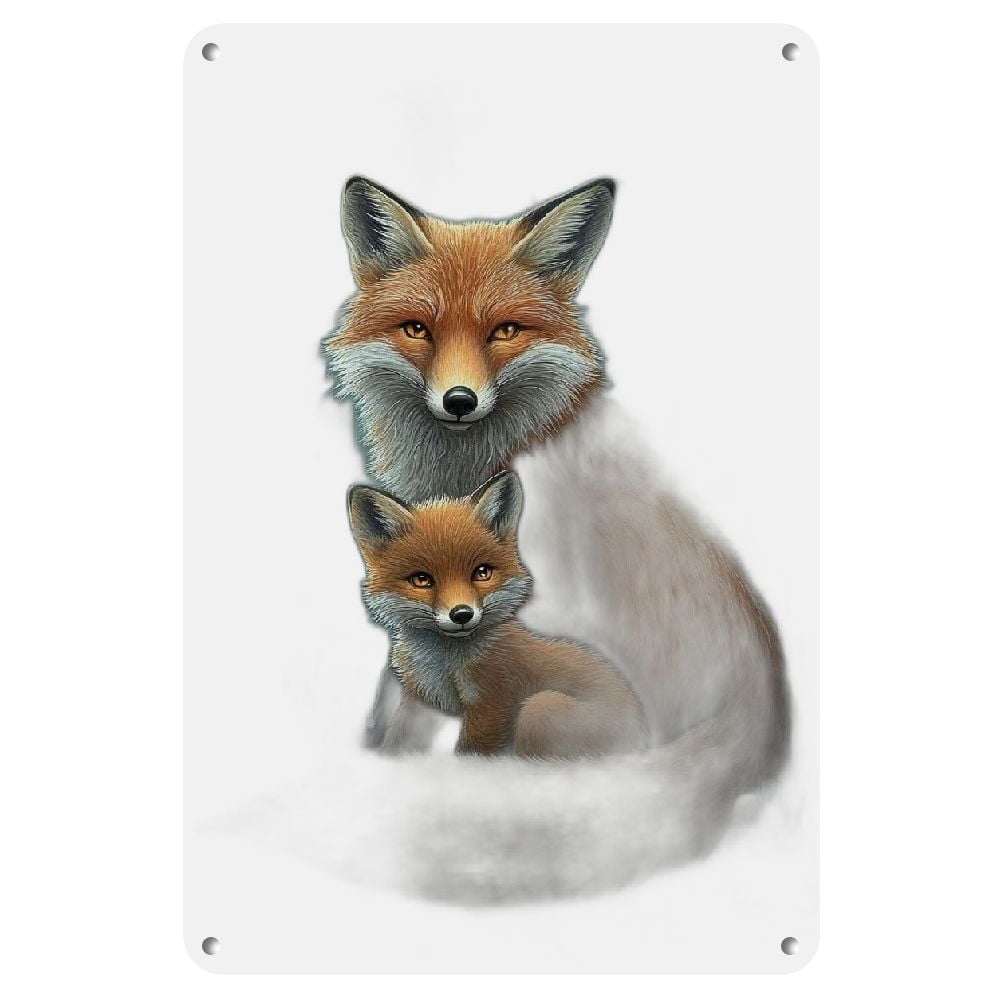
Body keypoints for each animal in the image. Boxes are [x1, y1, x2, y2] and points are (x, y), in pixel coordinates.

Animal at [347, 470, 648, 759]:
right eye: (422, 580)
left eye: (482, 573)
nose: (462, 614)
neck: (445, 665)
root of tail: (644, 735)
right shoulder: (422, 699)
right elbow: (398, 739)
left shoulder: (492, 704)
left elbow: (469, 754)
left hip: (539, 707)